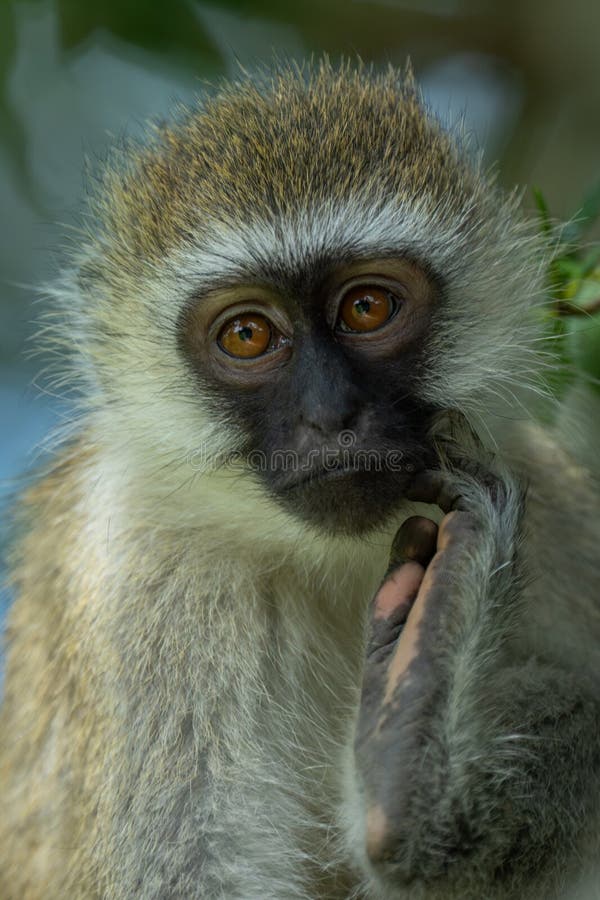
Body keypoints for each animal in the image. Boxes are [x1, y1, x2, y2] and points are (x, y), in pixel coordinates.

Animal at [0, 60, 599, 900]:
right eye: (249, 334)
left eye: (367, 306)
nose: (330, 415)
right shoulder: (141, 577)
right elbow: (190, 878)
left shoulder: (557, 510)